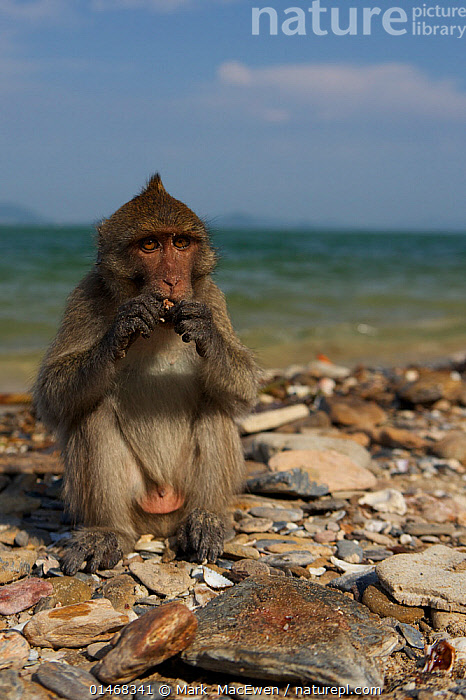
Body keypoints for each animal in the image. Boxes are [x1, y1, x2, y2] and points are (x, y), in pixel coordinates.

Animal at [33, 174, 259, 575]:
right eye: (150, 245)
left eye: (180, 243)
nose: (171, 280)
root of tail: (162, 511)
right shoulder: (85, 295)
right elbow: (53, 395)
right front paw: (121, 330)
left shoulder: (210, 298)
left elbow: (243, 391)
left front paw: (208, 335)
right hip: (137, 500)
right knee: (92, 415)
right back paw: (109, 532)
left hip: (182, 494)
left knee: (216, 406)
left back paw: (205, 520)